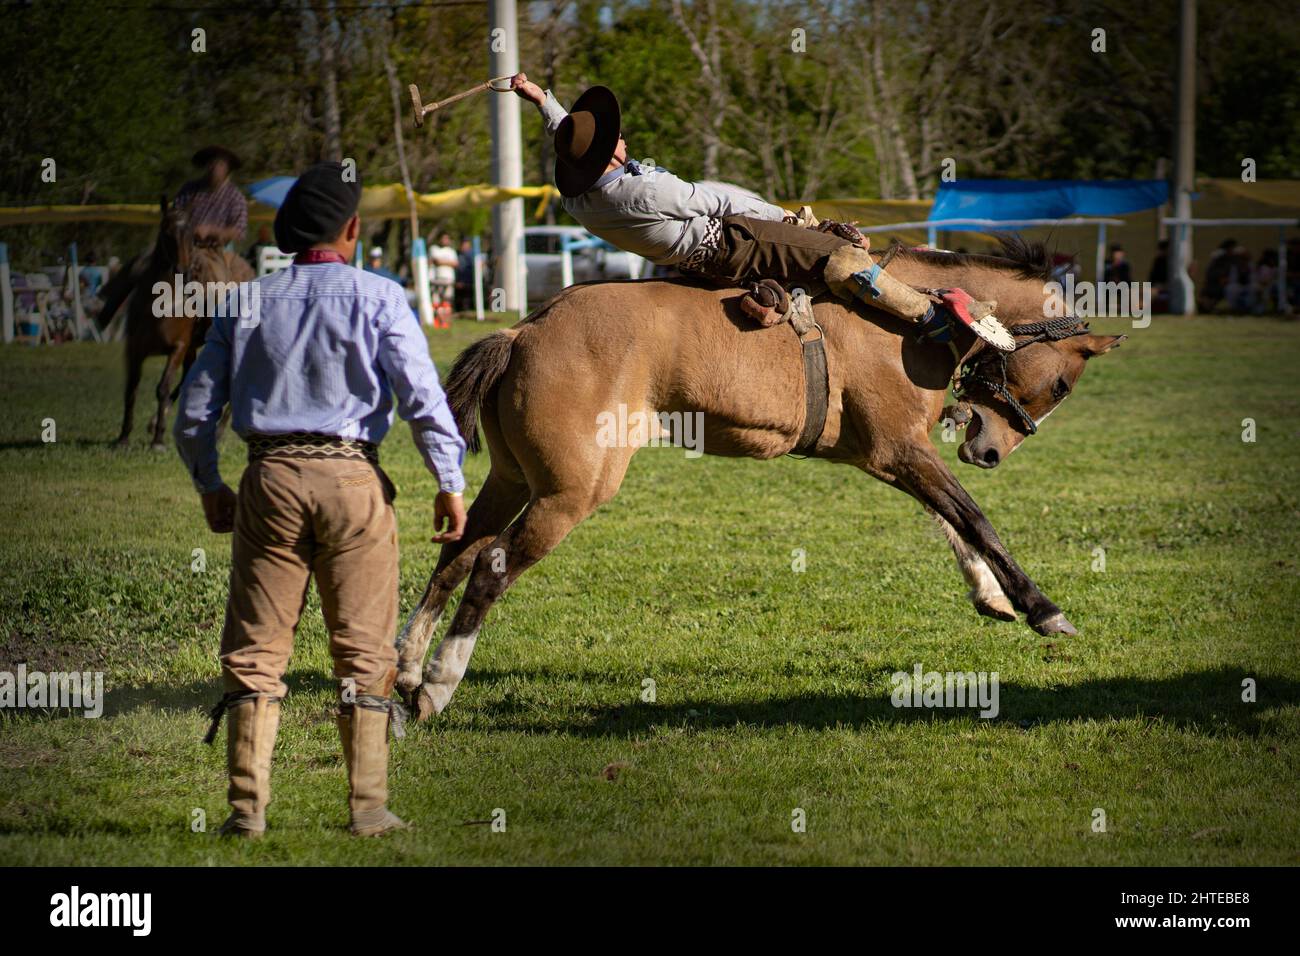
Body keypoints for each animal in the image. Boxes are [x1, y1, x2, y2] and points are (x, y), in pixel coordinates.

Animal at [98, 196, 252, 448]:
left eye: (190, 235)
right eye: (166, 232)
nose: (184, 272)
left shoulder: (177, 348)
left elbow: (162, 387)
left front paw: (158, 440)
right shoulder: (134, 351)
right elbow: (131, 389)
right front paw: (124, 437)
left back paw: (217, 433)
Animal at [394, 236, 1126, 720]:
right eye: (1061, 383)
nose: (992, 453)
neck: (912, 320)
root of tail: (520, 333)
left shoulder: (885, 455)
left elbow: (948, 519)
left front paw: (991, 596)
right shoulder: (902, 449)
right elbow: (974, 517)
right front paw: (1042, 609)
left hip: (513, 481)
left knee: (455, 555)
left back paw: (402, 667)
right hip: (568, 494)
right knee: (490, 567)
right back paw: (435, 686)